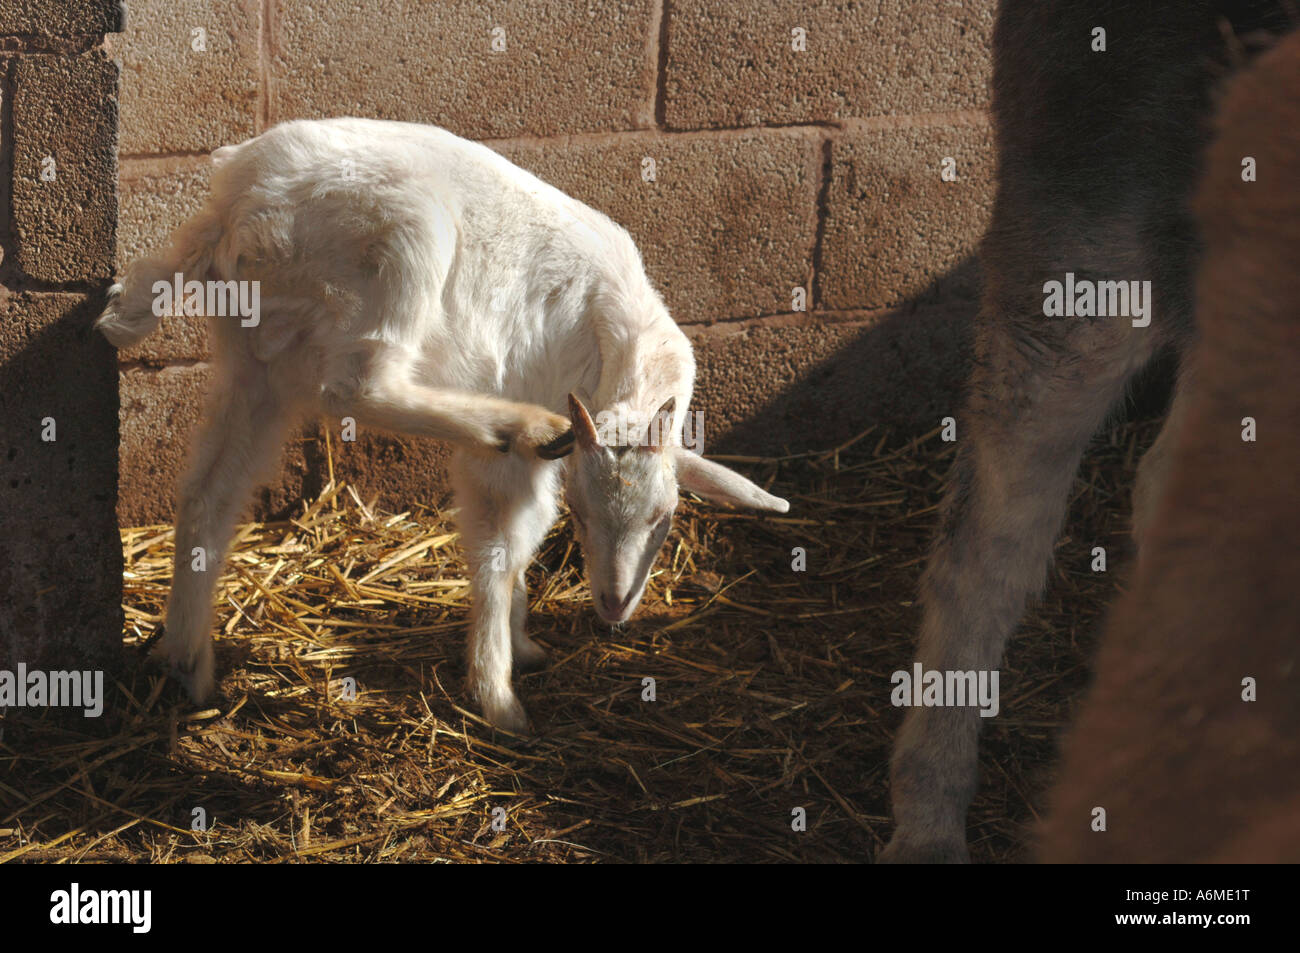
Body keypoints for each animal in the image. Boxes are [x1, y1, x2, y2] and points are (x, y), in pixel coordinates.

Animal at [97, 118, 789, 732]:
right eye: (585, 517)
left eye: (663, 518)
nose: (614, 604)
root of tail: (237, 205)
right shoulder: (527, 425)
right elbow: (500, 546)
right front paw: (498, 696)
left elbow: (527, 534)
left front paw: (521, 645)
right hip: (401, 245)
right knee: (360, 384)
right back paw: (514, 424)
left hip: (257, 355)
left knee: (210, 491)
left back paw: (188, 663)